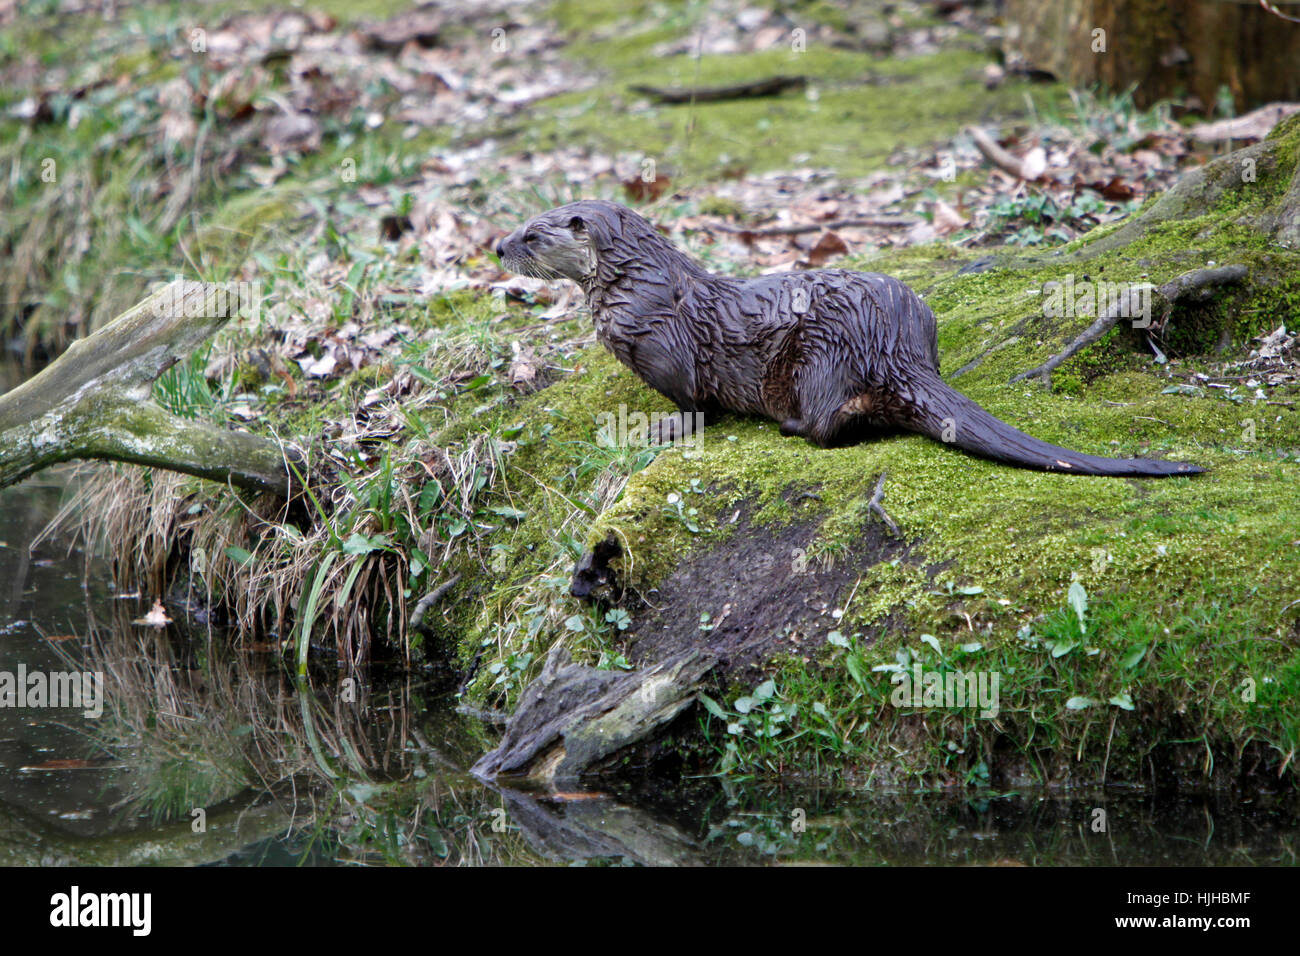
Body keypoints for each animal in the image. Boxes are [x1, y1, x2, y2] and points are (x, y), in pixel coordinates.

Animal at [496, 200, 1204, 477]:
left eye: (531, 233)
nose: (498, 246)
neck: (636, 290)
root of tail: (895, 344)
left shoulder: (666, 353)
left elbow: (695, 407)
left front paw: (658, 429)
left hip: (818, 357)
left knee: (827, 424)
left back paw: (802, 424)